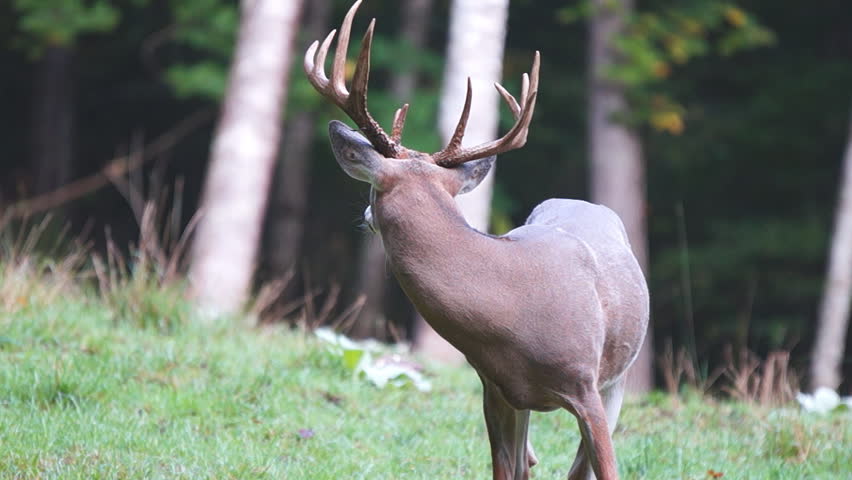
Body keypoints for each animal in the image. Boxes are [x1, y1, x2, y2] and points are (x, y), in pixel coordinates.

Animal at [303, 2, 649, 479]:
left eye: (373, 188)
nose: (366, 216)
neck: (509, 307)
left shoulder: (586, 386)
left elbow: (604, 466)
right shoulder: (494, 389)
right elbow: (506, 468)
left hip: (617, 377)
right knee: (528, 460)